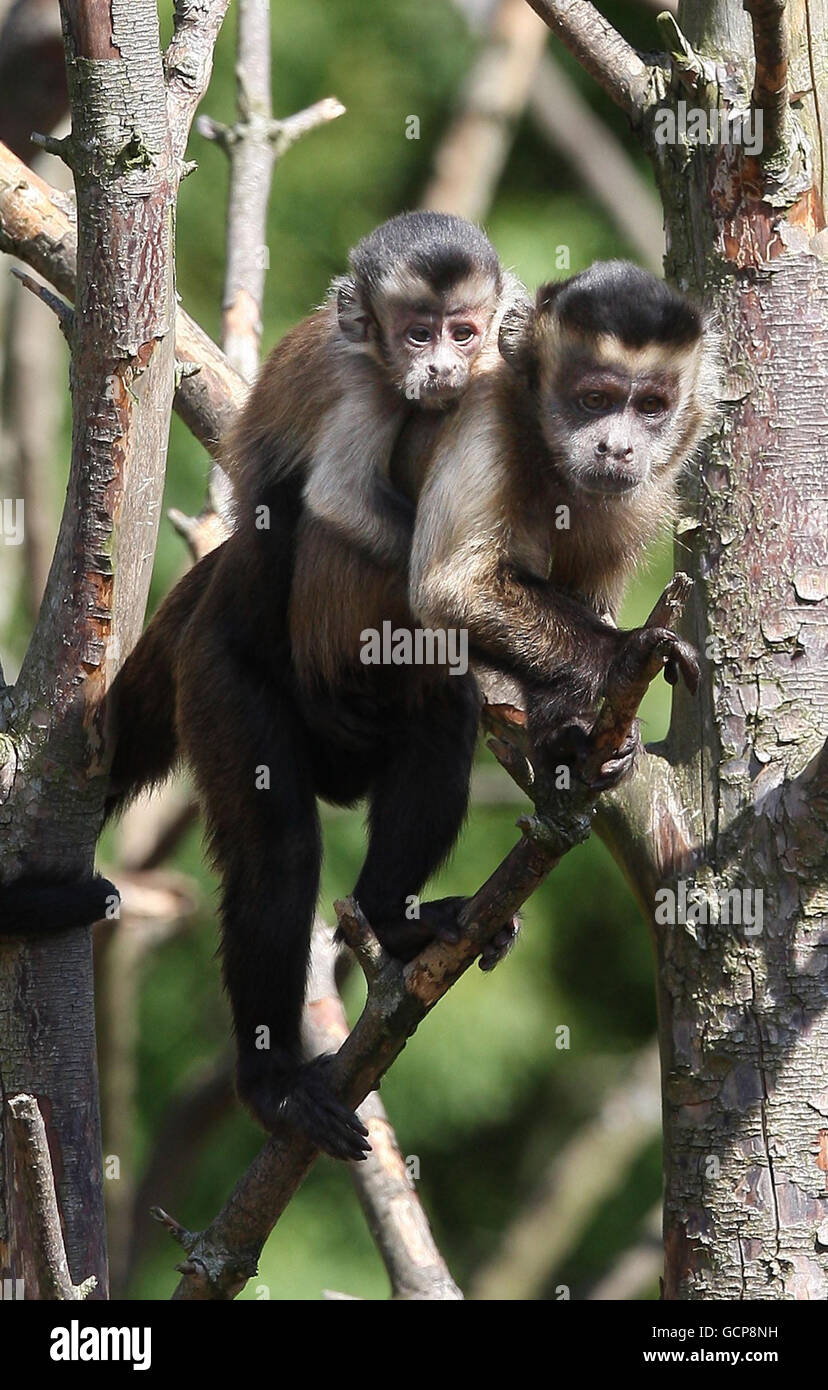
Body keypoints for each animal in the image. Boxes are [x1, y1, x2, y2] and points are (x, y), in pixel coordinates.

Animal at [0, 212, 525, 1161]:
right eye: (416, 333)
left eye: (463, 332)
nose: (441, 369)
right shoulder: (360, 389)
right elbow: (346, 504)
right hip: (220, 674)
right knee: (276, 851)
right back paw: (270, 1082)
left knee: (438, 711)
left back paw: (391, 920)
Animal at [408, 259, 719, 787]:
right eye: (594, 399)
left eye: (651, 407)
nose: (617, 448)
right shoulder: (488, 414)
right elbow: (451, 591)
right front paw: (625, 655)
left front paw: (574, 724)